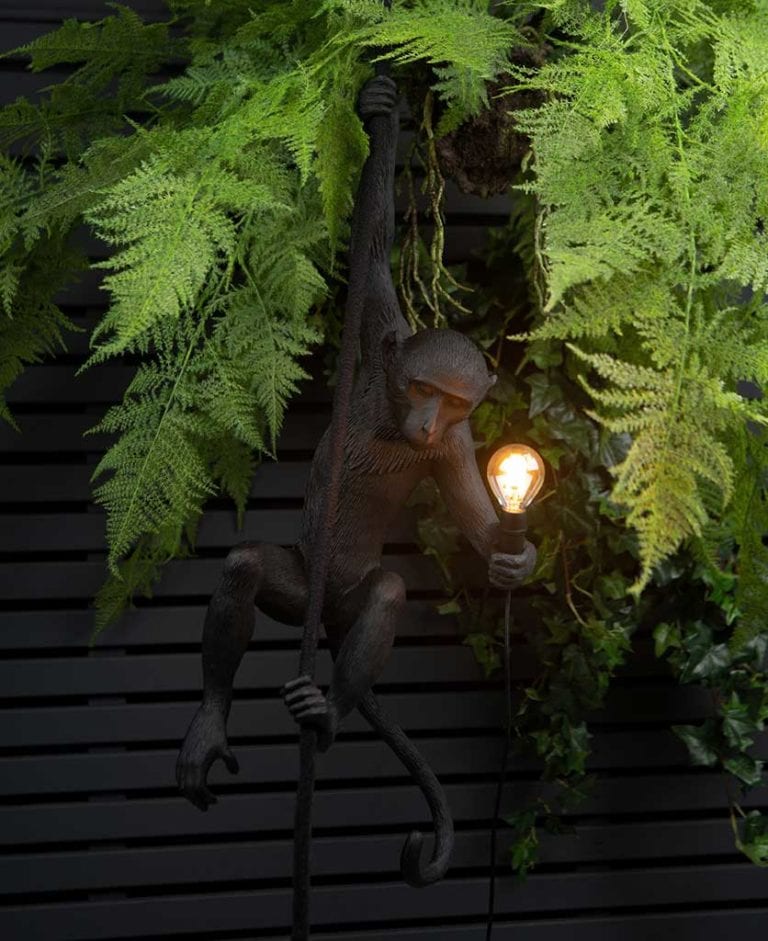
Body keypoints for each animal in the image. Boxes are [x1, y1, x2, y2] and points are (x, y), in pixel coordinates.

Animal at [176, 73, 537, 887]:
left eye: (458, 403)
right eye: (423, 388)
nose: (430, 422)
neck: (390, 419)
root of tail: (329, 623)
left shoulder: (456, 449)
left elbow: (474, 512)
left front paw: (513, 555)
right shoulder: (380, 332)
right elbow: (371, 245)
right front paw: (384, 116)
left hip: (344, 603)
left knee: (387, 593)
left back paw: (329, 713)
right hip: (302, 586)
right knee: (246, 569)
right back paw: (211, 722)